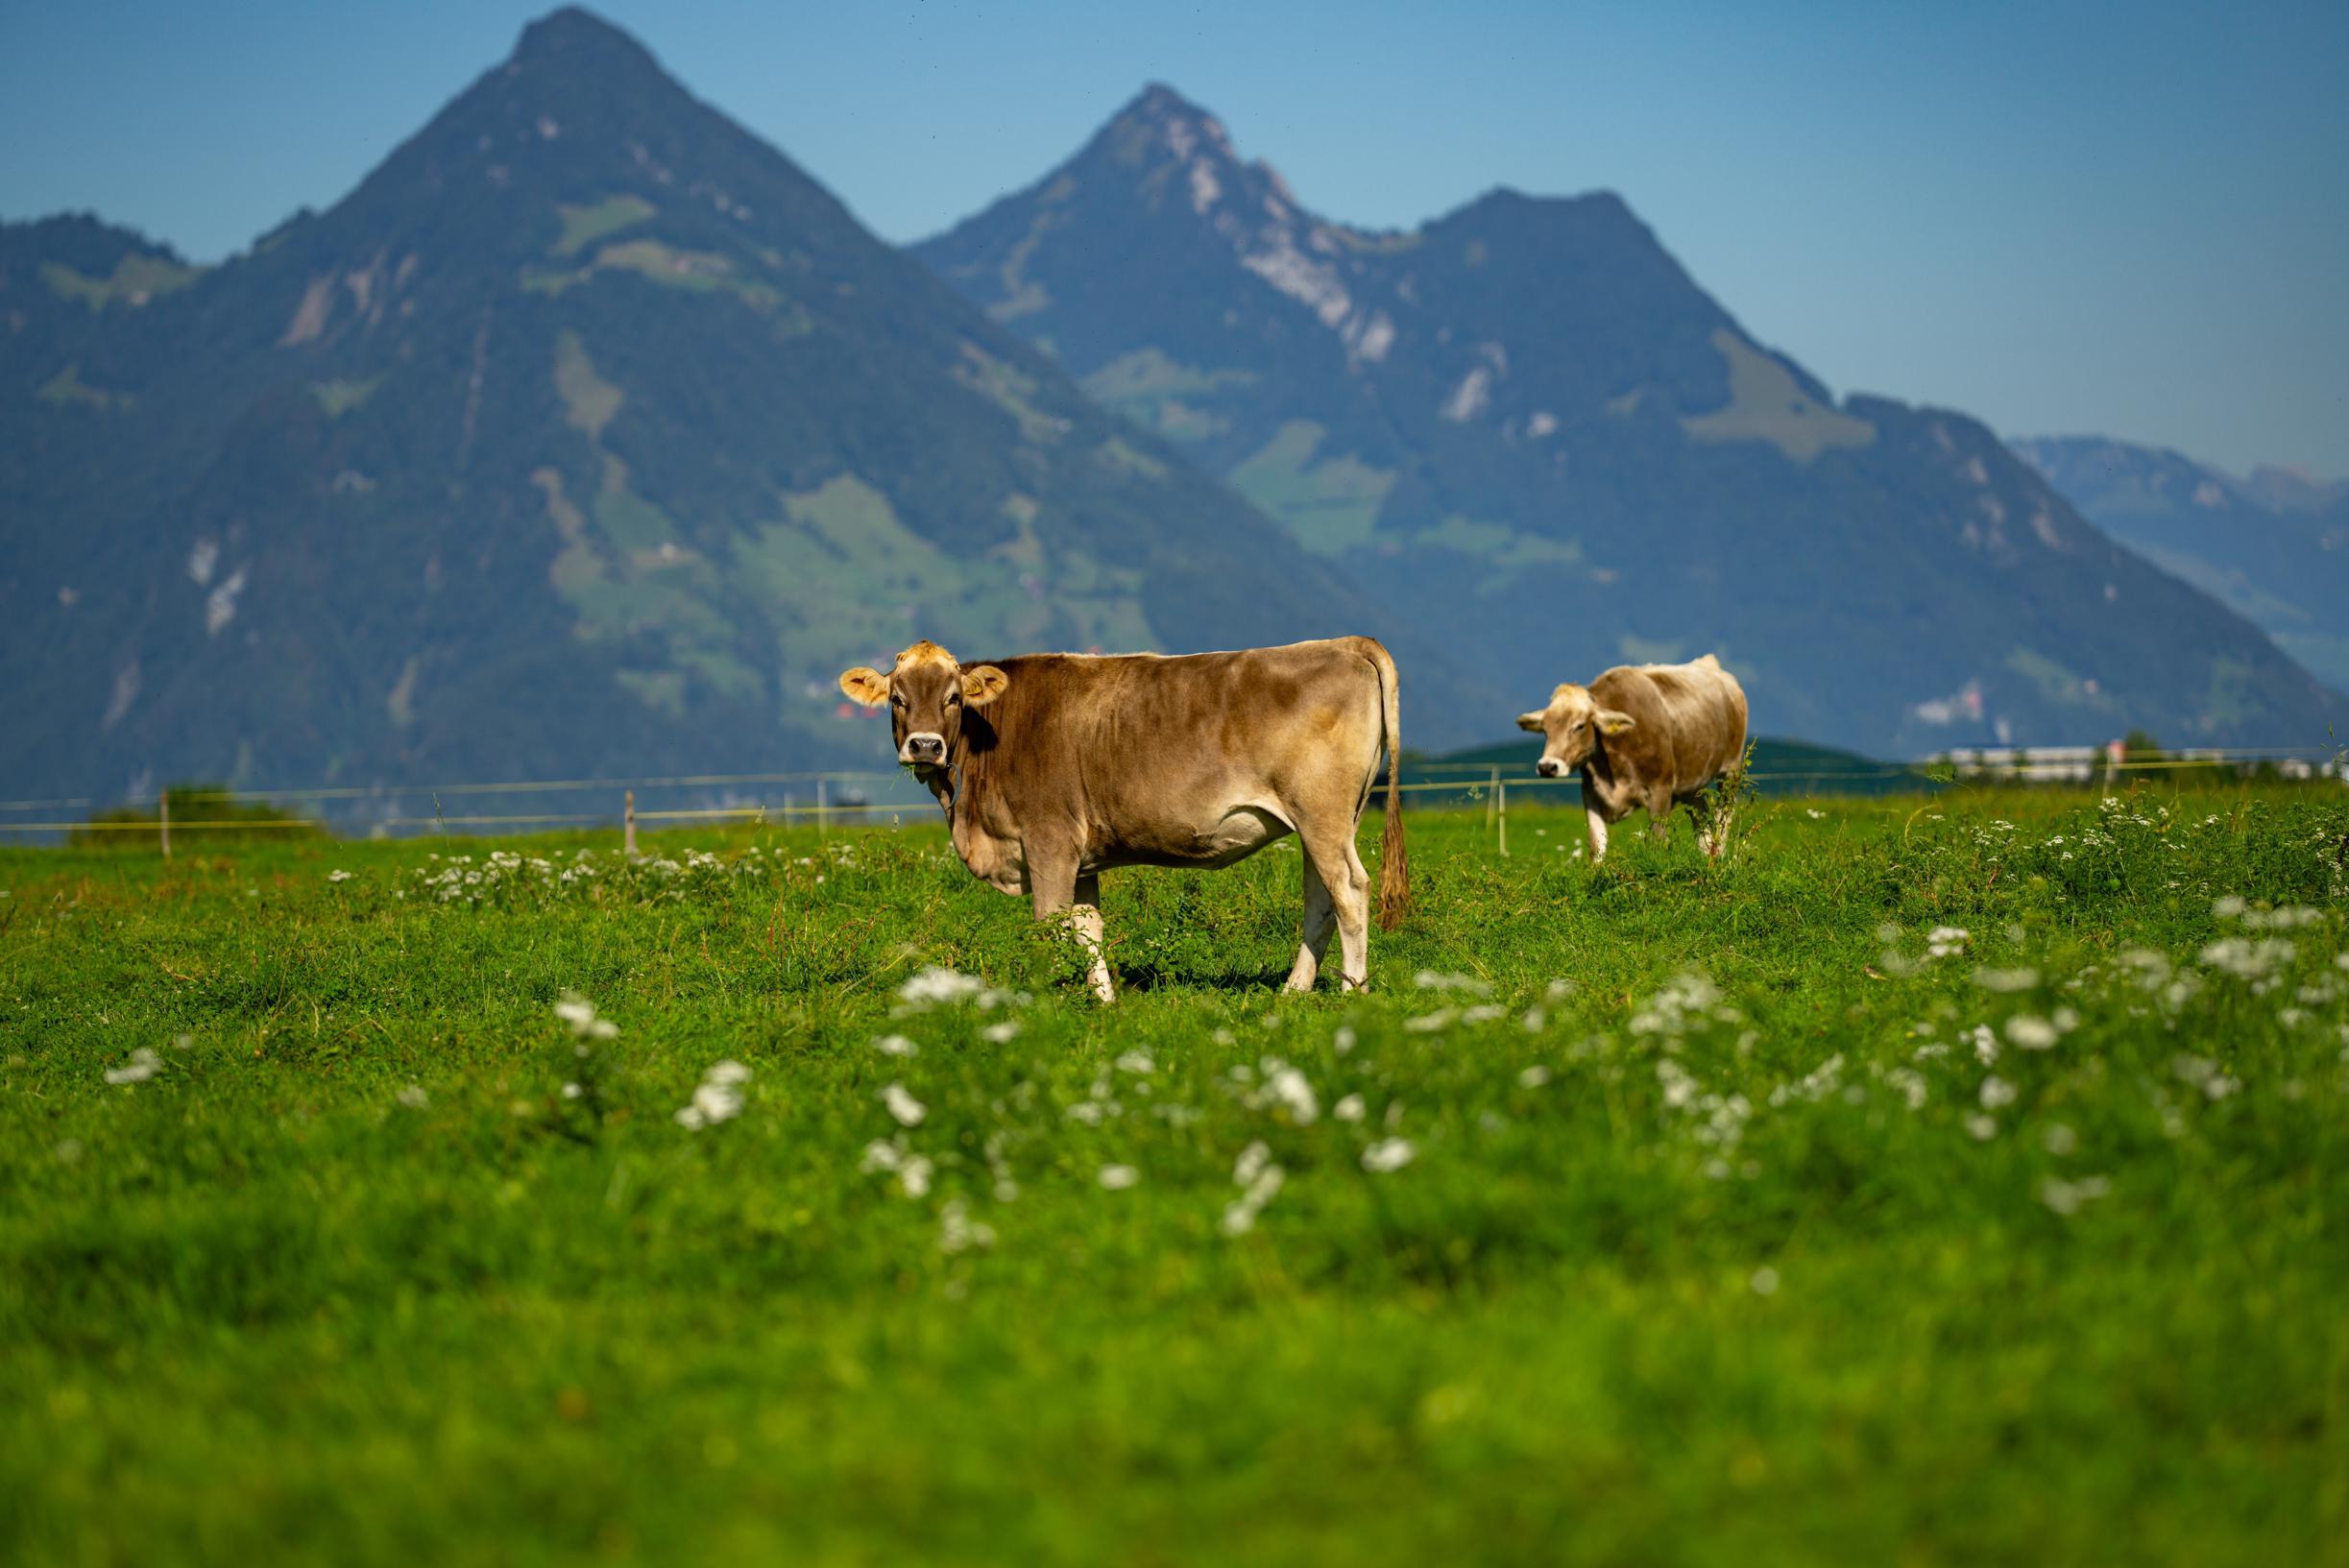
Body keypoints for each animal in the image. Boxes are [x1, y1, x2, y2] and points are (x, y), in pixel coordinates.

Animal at [838, 637, 1409, 1001]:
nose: (925, 746)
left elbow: (1050, 924)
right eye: (896, 699)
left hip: (1321, 813)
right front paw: (1103, 1001)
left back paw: (1352, 991)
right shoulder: (1080, 856)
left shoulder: (1049, 841)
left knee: (1350, 891)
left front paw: (1048, 1003)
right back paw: (1293, 991)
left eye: (954, 697)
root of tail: (1346, 642)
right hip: (1323, 822)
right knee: (1321, 898)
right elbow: (1087, 927)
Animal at [1516, 654, 1749, 863]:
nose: (1547, 767)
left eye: (1580, 726)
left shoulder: (1660, 790)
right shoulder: (1590, 793)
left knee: (1723, 818)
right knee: (1704, 821)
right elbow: (1596, 845)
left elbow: (1657, 841)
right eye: (1545, 729)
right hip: (1691, 785)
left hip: (1731, 771)